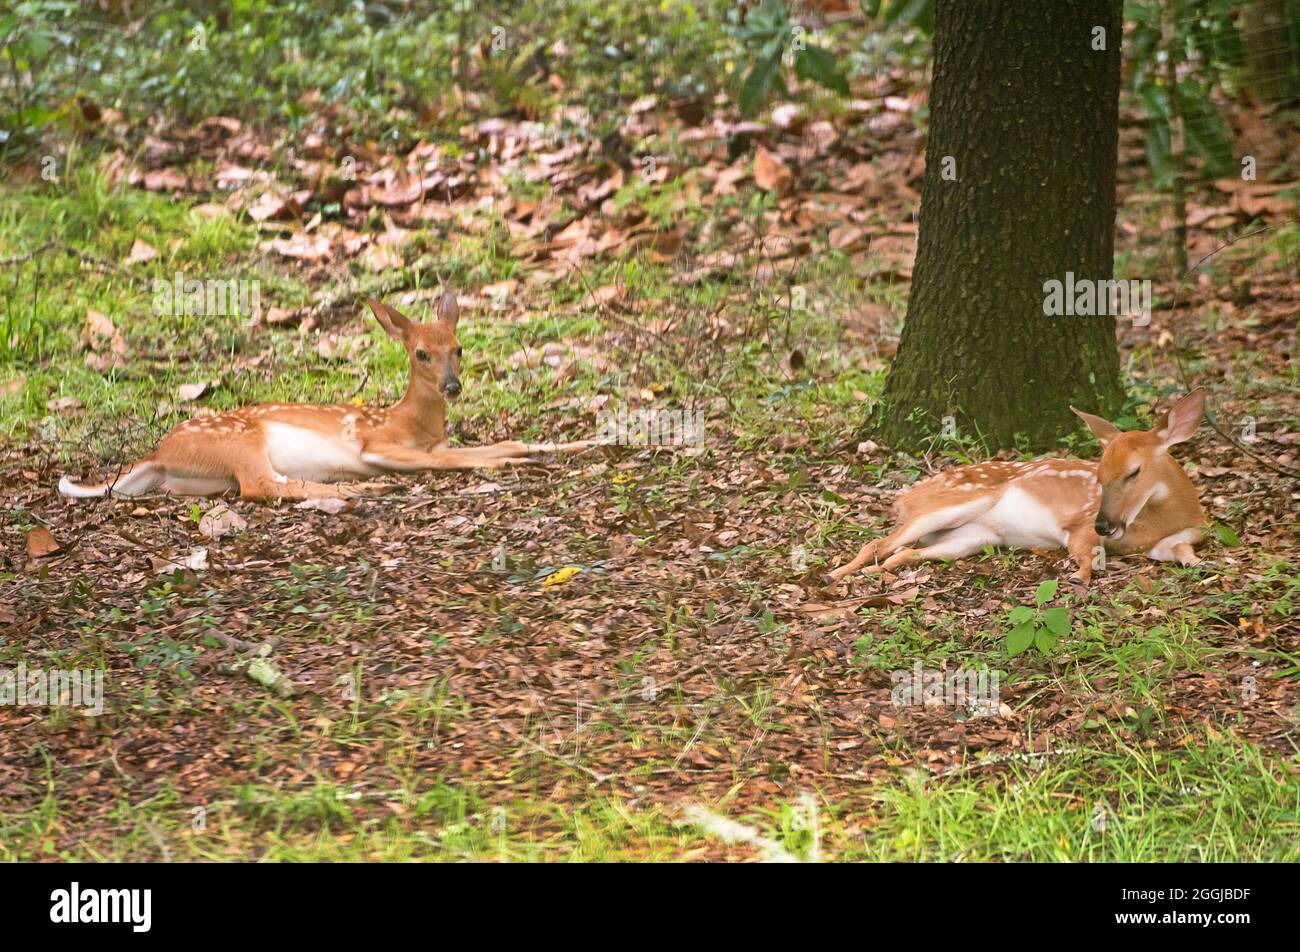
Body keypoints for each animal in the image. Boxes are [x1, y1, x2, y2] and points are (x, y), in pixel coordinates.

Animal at [58, 292, 593, 502]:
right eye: (421, 352)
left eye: (459, 348)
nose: (452, 386)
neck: (415, 423)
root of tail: (157, 453)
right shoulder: (377, 444)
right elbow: (456, 460)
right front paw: (513, 465)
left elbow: (506, 442)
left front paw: (578, 445)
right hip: (237, 441)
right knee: (261, 485)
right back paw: (356, 490)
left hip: (202, 479)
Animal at [828, 389, 1208, 586]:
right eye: (1099, 476)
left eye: (1134, 472)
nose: (1105, 524)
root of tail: (906, 497)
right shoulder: (1079, 524)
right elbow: (1085, 552)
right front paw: (1079, 576)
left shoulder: (1176, 540)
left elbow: (1185, 553)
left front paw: (1203, 566)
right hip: (958, 501)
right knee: (878, 542)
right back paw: (836, 575)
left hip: (970, 538)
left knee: (902, 553)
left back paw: (872, 573)